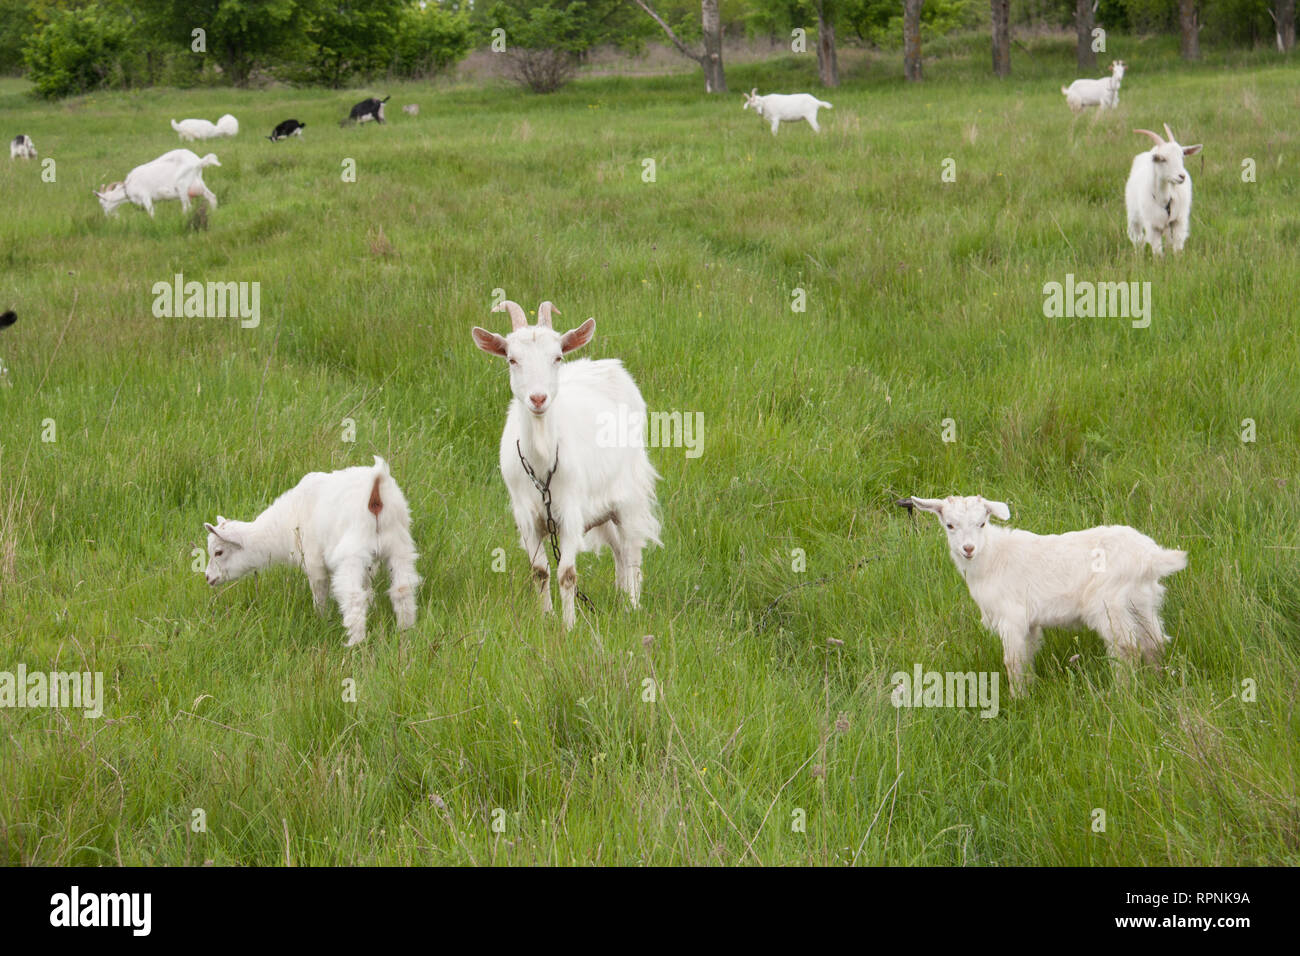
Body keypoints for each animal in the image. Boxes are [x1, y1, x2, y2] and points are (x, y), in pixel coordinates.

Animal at [204, 456, 420, 647]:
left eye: (218, 552)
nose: (208, 578)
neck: (284, 522)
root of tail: (376, 487)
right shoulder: (369, 565)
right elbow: (368, 587)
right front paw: (373, 609)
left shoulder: (313, 560)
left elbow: (320, 591)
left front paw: (321, 620)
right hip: (399, 544)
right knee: (403, 589)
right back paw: (405, 632)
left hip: (352, 550)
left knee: (353, 596)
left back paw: (355, 643)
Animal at [472, 300, 661, 630]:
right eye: (512, 359)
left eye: (557, 357)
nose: (538, 398)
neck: (542, 460)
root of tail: (608, 365)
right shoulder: (526, 517)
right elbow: (540, 571)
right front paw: (546, 619)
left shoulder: (570, 513)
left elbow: (567, 574)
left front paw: (569, 626)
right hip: (600, 509)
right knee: (618, 549)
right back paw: (621, 596)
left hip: (629, 496)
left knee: (632, 549)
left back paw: (632, 605)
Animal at [899, 495, 1186, 696]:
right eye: (949, 525)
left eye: (982, 523)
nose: (968, 548)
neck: (991, 557)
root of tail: (1150, 556)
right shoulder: (1029, 623)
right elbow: (1026, 657)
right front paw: (1029, 691)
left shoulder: (1011, 617)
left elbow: (1012, 661)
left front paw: (1017, 699)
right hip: (1143, 600)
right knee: (1154, 641)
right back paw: (1156, 681)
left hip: (1109, 603)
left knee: (1126, 647)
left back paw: (1120, 692)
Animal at [1125, 124, 1202, 255]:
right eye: (1162, 159)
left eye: (1182, 156)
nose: (1181, 176)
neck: (1165, 198)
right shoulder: (1153, 226)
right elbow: (1157, 252)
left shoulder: (1178, 221)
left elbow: (1177, 247)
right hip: (1134, 217)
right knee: (1137, 239)